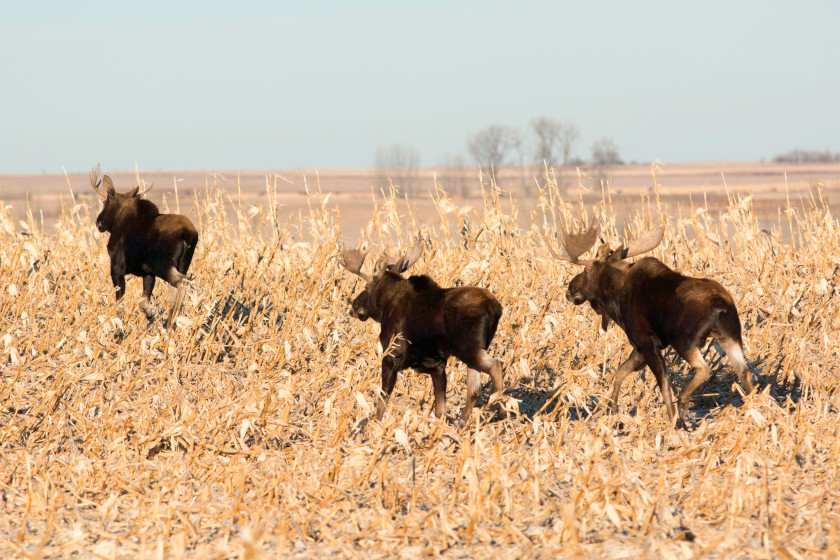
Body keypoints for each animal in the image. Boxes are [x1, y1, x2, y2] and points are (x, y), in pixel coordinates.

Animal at [90, 165, 198, 329]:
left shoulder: (116, 267)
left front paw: (119, 329)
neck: (117, 224)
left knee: (184, 281)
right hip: (181, 264)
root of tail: (189, 235)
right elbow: (143, 302)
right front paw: (150, 313)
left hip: (163, 265)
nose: (99, 222)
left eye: (104, 202)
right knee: (178, 286)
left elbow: (119, 304)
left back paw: (177, 318)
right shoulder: (148, 273)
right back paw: (170, 322)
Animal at [338, 243, 507, 425]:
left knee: (495, 365)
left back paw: (501, 411)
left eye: (366, 288)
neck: (385, 308)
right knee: (474, 389)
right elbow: (440, 411)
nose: (354, 306)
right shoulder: (436, 364)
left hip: (468, 347)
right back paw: (464, 422)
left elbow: (382, 404)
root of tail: (495, 308)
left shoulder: (391, 356)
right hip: (472, 352)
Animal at [546, 218, 755, 426]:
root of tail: (721, 305)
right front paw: (612, 409)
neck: (614, 299)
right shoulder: (644, 345)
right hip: (730, 335)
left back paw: (683, 404)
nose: (569, 290)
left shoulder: (645, 340)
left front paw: (672, 421)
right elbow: (621, 371)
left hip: (685, 340)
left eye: (585, 270)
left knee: (704, 369)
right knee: (744, 372)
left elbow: (663, 383)